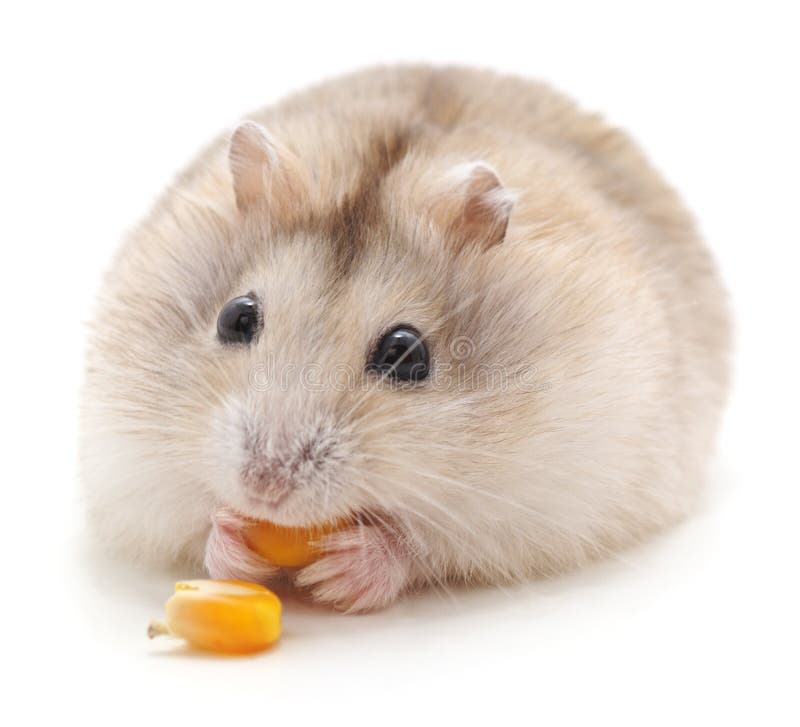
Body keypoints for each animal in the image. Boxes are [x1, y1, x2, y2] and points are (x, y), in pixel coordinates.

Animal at [80, 66, 730, 611]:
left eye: (406, 353)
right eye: (236, 317)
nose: (264, 488)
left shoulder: (544, 494)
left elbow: (424, 542)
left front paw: (336, 575)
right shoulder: (128, 460)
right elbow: (195, 521)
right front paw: (236, 543)